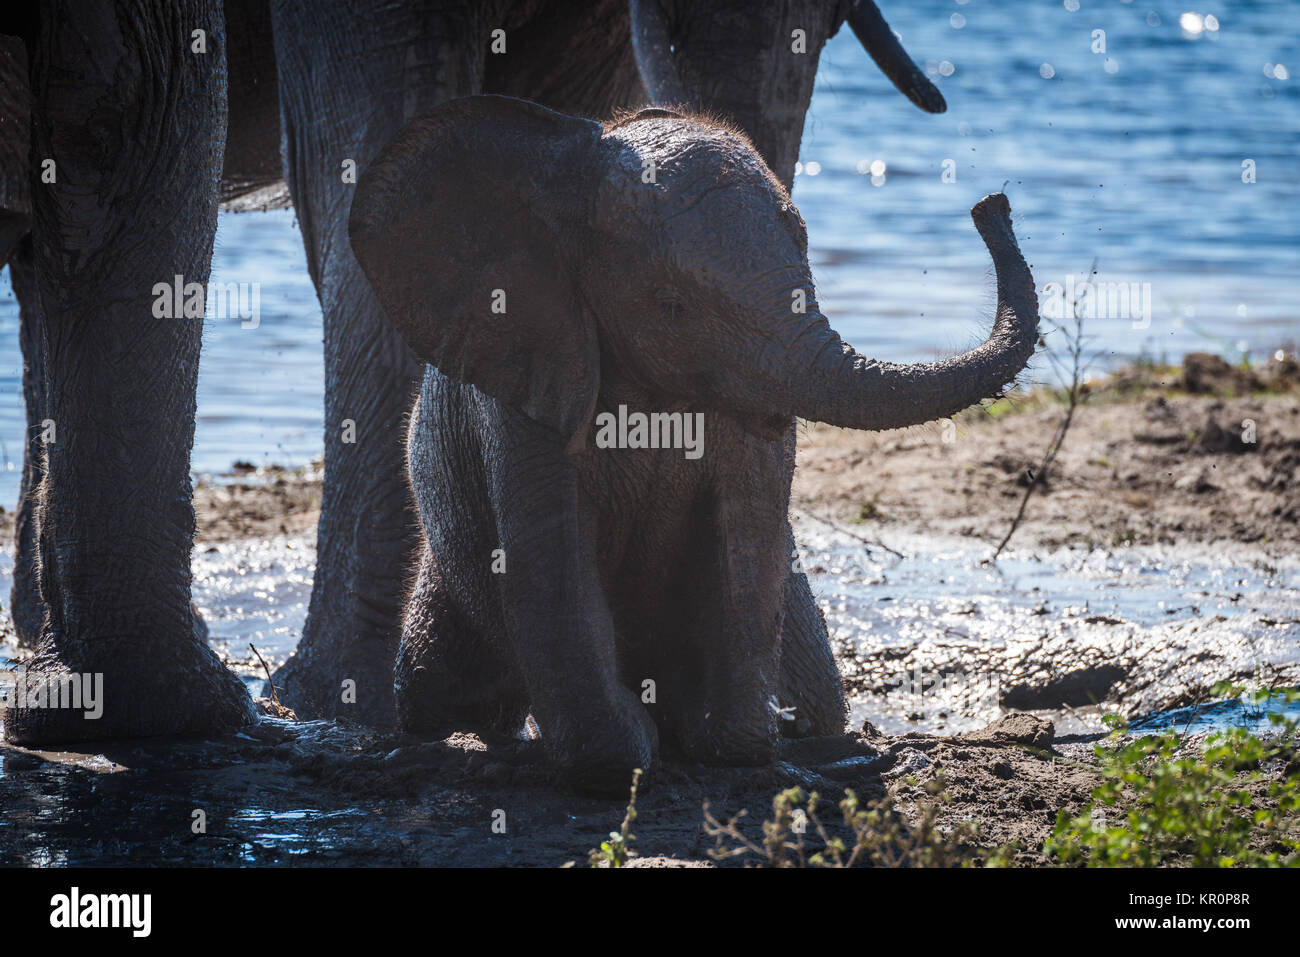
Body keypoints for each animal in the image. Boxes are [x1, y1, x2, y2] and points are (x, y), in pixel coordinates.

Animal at [347, 95, 1039, 793]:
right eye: (670, 304)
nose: (992, 204)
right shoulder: (525, 389)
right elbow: (551, 553)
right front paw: (623, 752)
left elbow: (744, 535)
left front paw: (733, 739)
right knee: (431, 691)